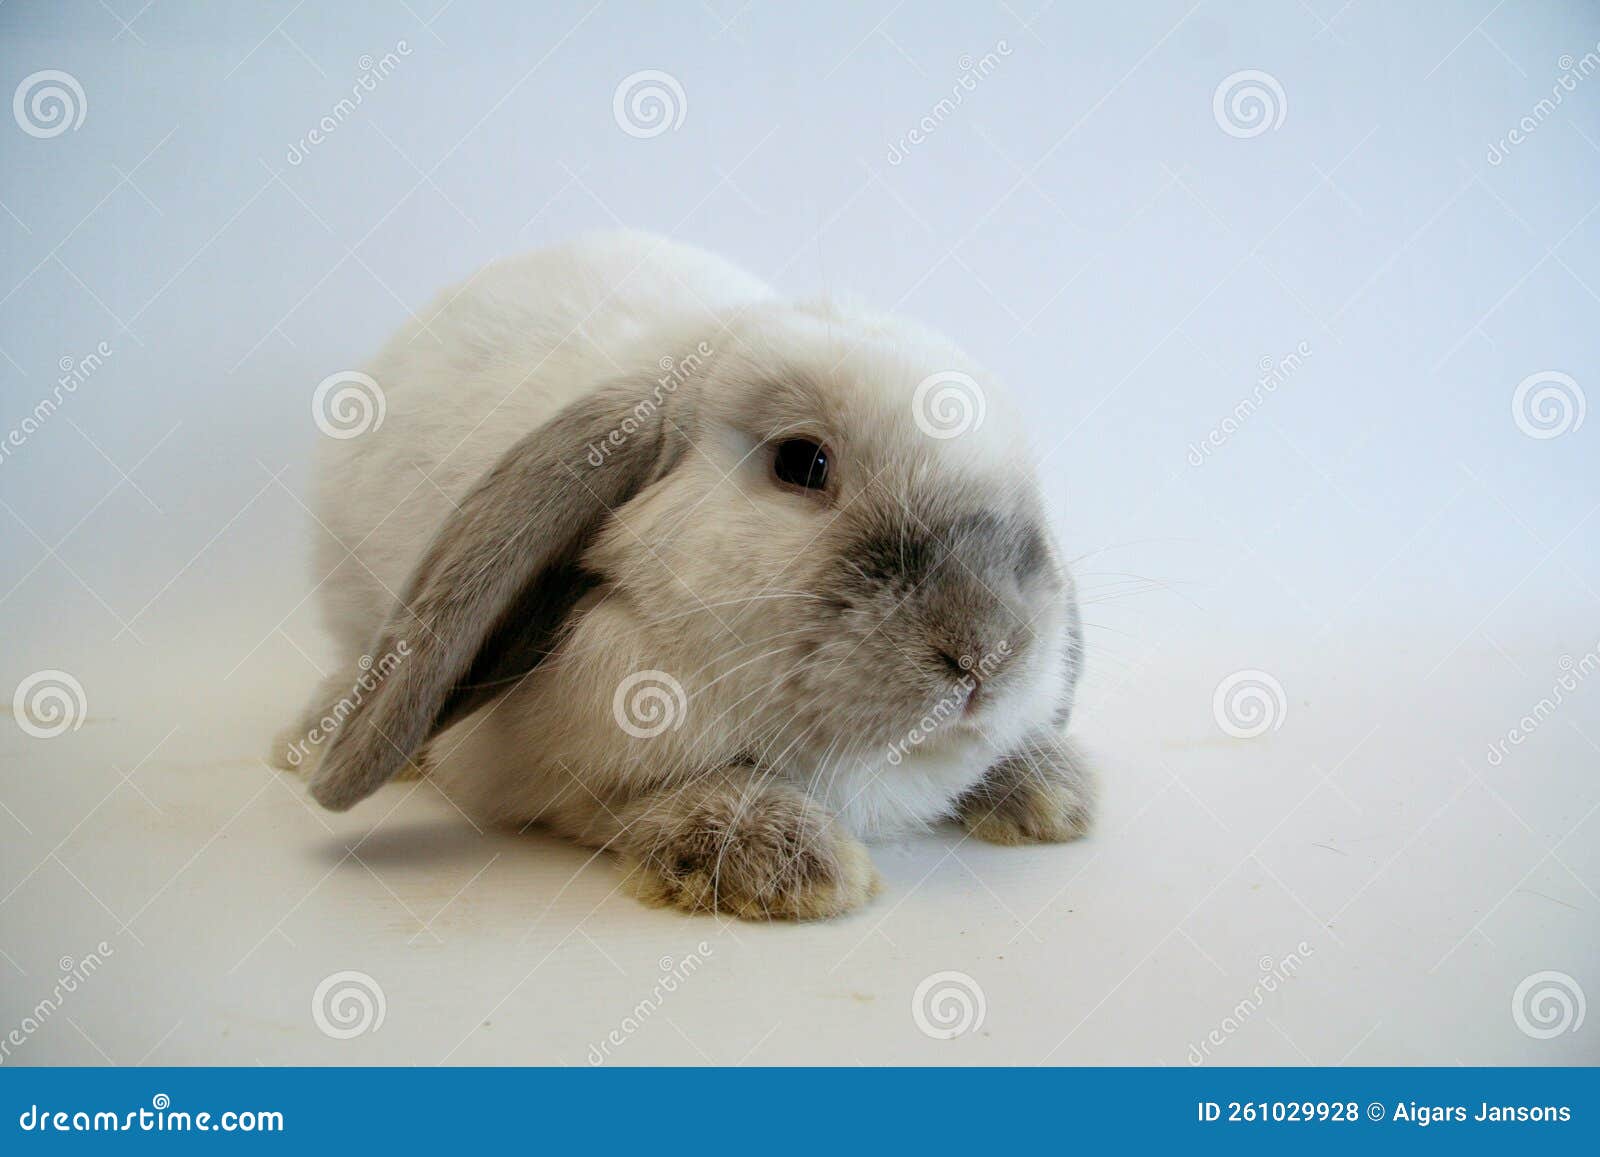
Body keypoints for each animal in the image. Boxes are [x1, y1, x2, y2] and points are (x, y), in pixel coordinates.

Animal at [274, 230, 1095, 920]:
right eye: (802, 462)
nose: (989, 650)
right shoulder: (553, 773)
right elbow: (655, 794)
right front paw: (786, 863)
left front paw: (1055, 794)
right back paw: (310, 737)